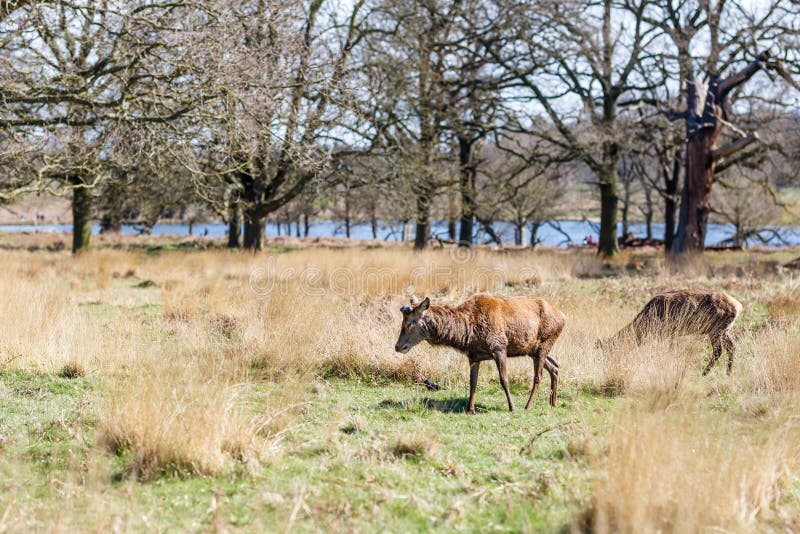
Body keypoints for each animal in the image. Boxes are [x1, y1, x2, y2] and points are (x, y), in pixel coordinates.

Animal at [394, 294, 566, 414]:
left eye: (409, 323)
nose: (397, 347)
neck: (468, 332)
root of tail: (563, 317)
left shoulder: (499, 347)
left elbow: (504, 380)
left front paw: (512, 407)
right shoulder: (474, 356)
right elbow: (473, 382)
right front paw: (470, 409)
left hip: (545, 342)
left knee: (538, 376)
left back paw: (528, 405)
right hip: (532, 350)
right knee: (555, 366)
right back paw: (553, 402)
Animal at [596, 289, 743, 375]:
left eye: (609, 352)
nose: (605, 368)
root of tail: (738, 306)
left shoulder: (667, 331)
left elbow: (667, 350)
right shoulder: (670, 333)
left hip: (716, 329)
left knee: (718, 351)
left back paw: (705, 373)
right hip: (725, 330)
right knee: (732, 347)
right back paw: (728, 373)